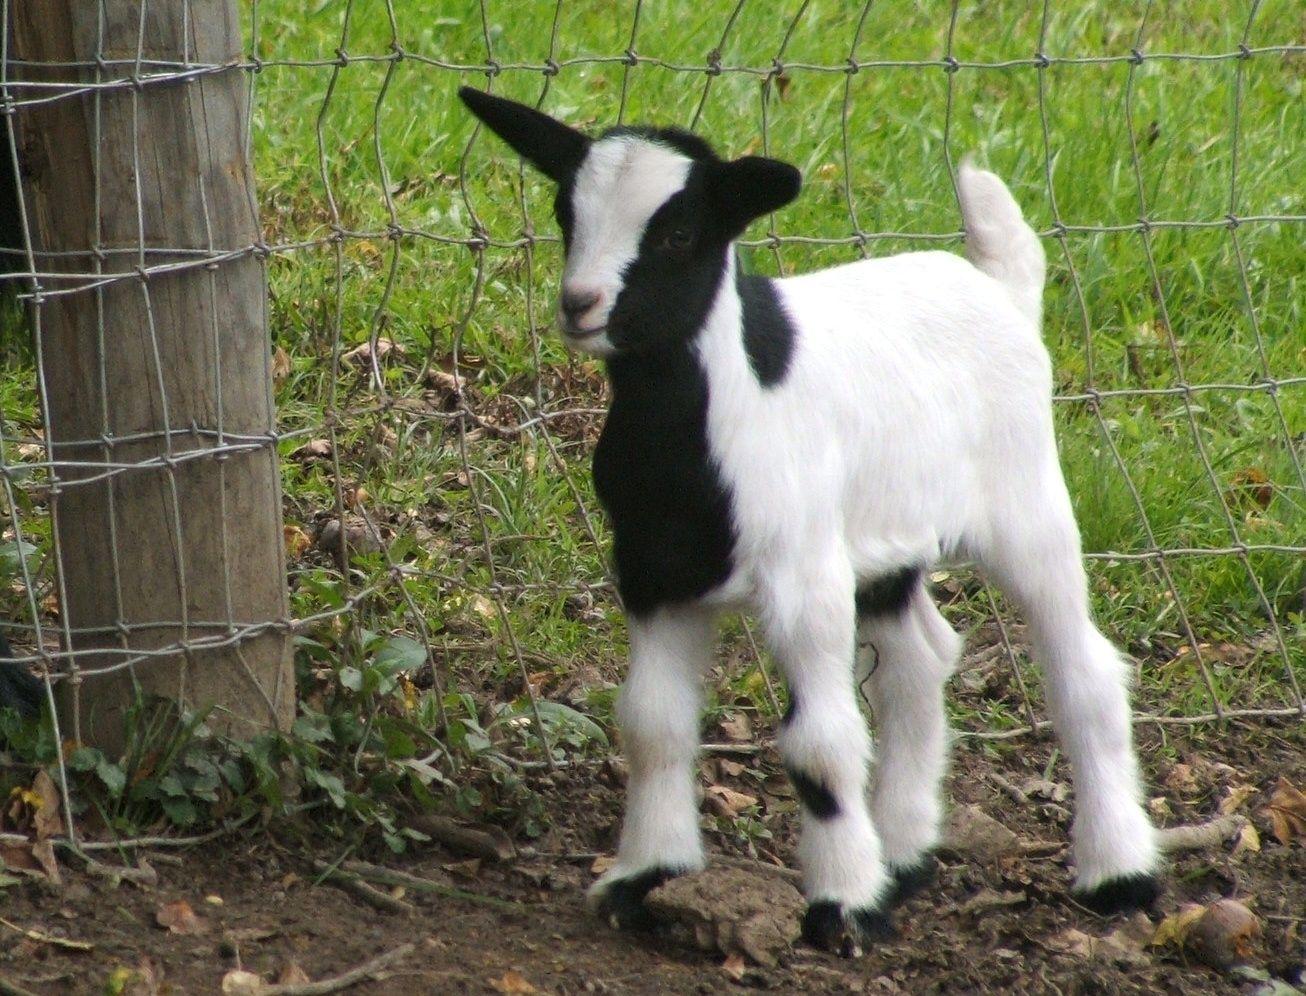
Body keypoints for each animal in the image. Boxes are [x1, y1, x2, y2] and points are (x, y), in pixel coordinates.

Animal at [459, 87, 1161, 954]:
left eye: (680, 231)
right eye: (566, 210)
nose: (579, 304)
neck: (707, 416)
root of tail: (1000, 287)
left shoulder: (805, 578)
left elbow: (821, 748)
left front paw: (843, 907)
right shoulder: (654, 576)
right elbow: (653, 725)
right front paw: (644, 878)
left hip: (1026, 502)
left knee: (1082, 674)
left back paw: (1118, 874)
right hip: (887, 539)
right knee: (919, 661)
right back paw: (903, 855)